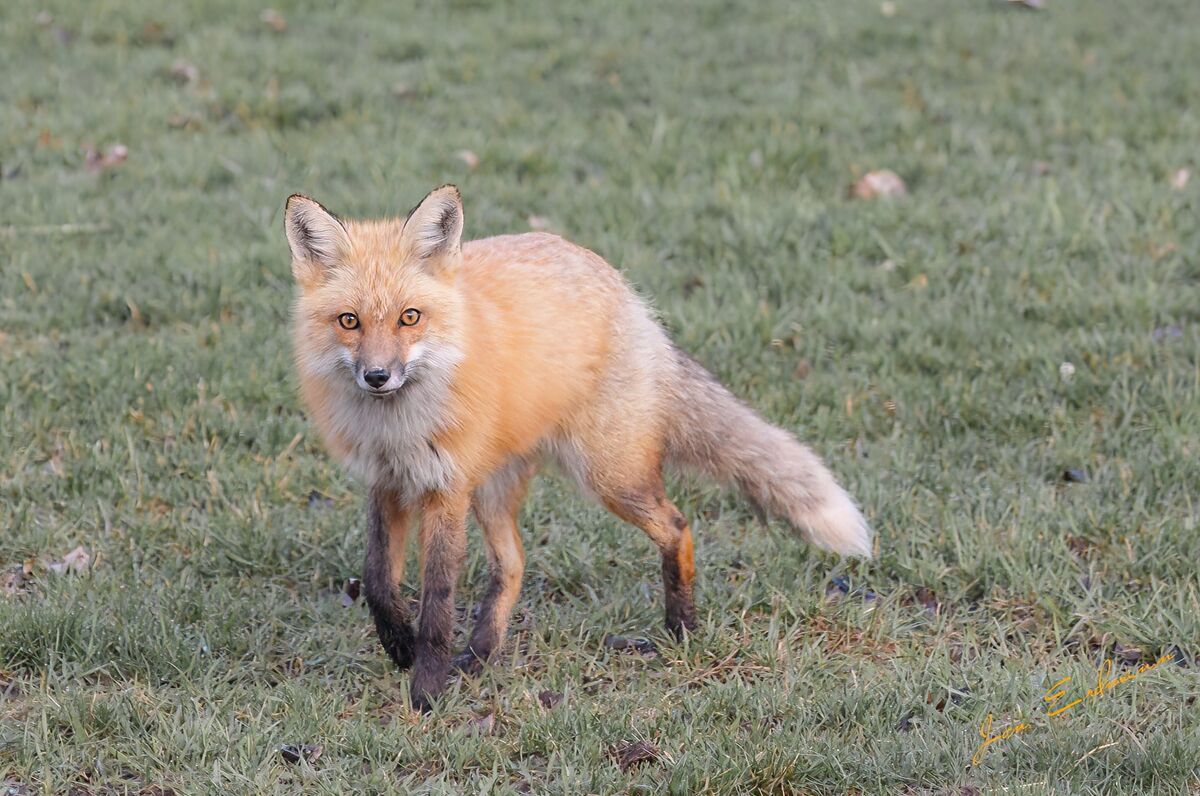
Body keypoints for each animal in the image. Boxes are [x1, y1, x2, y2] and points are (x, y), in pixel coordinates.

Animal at [284, 185, 872, 711]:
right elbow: (379, 582)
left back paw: (681, 628)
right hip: (494, 490)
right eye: (349, 321)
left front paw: (426, 691)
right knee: (514, 566)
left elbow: (437, 604)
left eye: (410, 317)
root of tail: (625, 290)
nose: (377, 376)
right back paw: (478, 657)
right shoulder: (387, 482)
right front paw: (400, 647)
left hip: (608, 475)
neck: (397, 428)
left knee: (678, 526)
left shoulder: (444, 492)